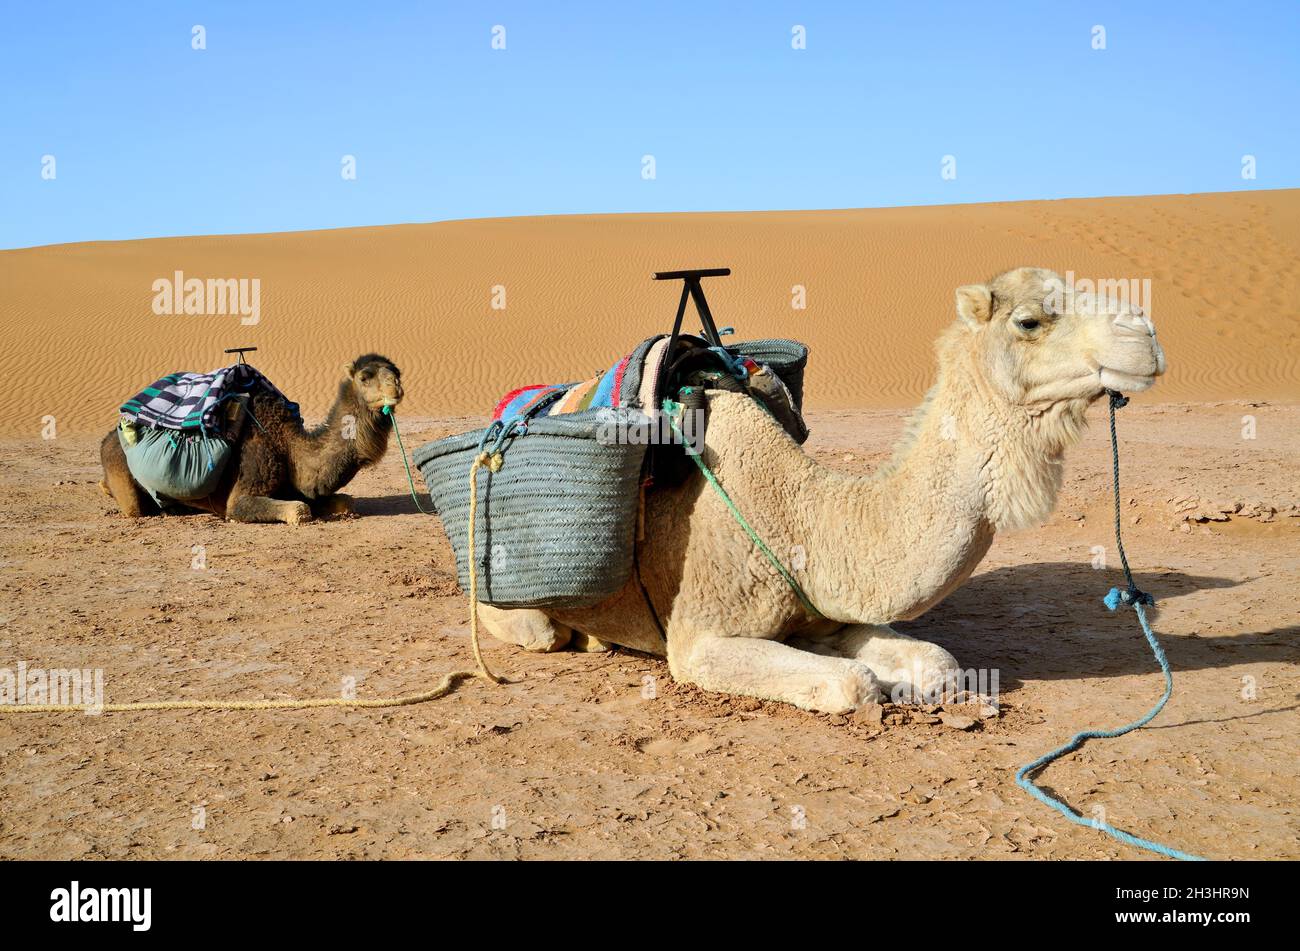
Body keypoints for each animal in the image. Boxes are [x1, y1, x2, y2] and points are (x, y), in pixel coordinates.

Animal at [100, 354, 404, 524]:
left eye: (396, 372)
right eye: (365, 377)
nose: (396, 387)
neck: (289, 447)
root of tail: (107, 439)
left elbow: (345, 501)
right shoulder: (242, 493)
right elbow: (299, 511)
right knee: (133, 506)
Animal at [476, 268, 1166, 712]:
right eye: (1029, 320)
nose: (1147, 336)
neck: (802, 516)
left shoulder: (826, 610)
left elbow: (937, 662)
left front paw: (911, 683)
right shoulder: (698, 639)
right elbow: (852, 684)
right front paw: (881, 688)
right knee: (533, 628)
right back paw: (575, 632)